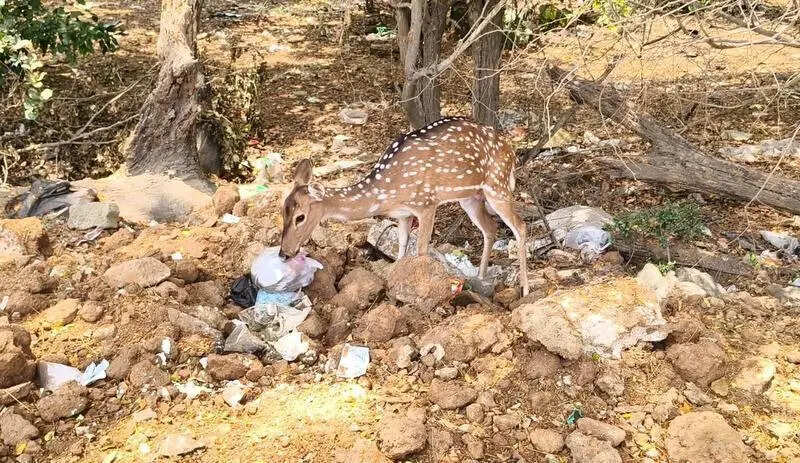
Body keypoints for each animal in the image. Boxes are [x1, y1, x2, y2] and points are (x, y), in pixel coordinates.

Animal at [279, 116, 529, 296]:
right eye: (282, 212)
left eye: (300, 217)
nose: (283, 253)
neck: (386, 192)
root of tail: (511, 149)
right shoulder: (403, 215)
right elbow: (400, 252)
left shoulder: (426, 203)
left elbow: (420, 251)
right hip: (470, 197)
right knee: (490, 228)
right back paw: (480, 278)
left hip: (498, 185)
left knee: (520, 226)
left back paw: (525, 289)